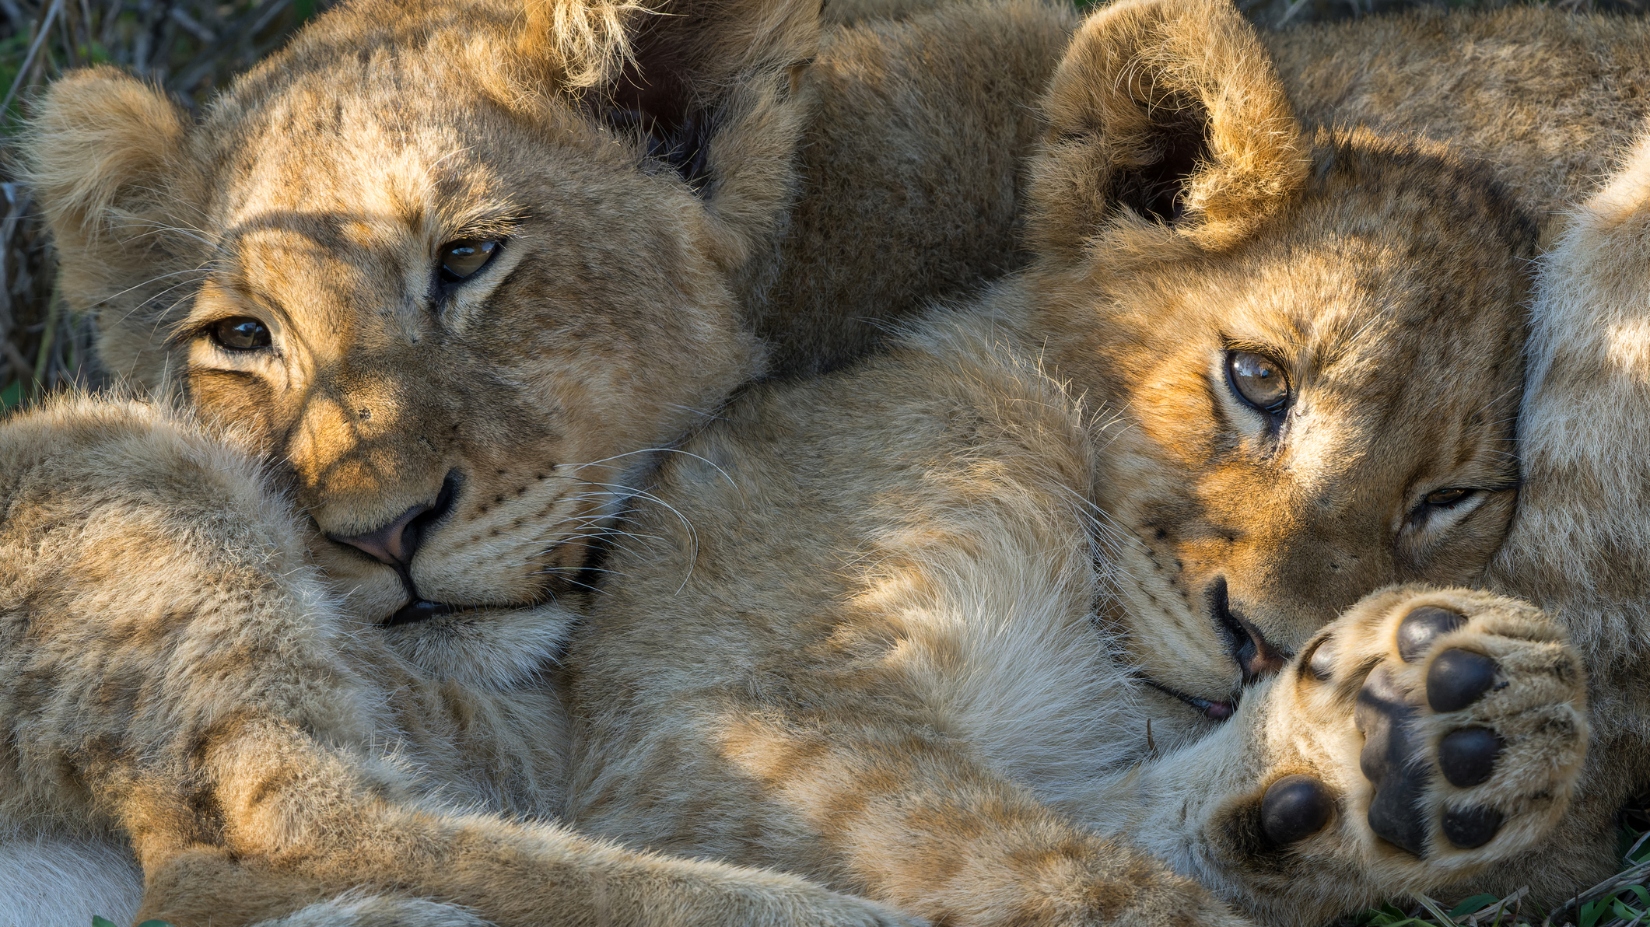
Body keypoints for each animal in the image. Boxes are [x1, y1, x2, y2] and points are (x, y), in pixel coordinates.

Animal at [561, 1, 1598, 925]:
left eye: (1448, 498)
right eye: (1259, 377)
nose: (1260, 647)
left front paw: (1430, 732)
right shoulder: (715, 703)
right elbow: (1086, 884)